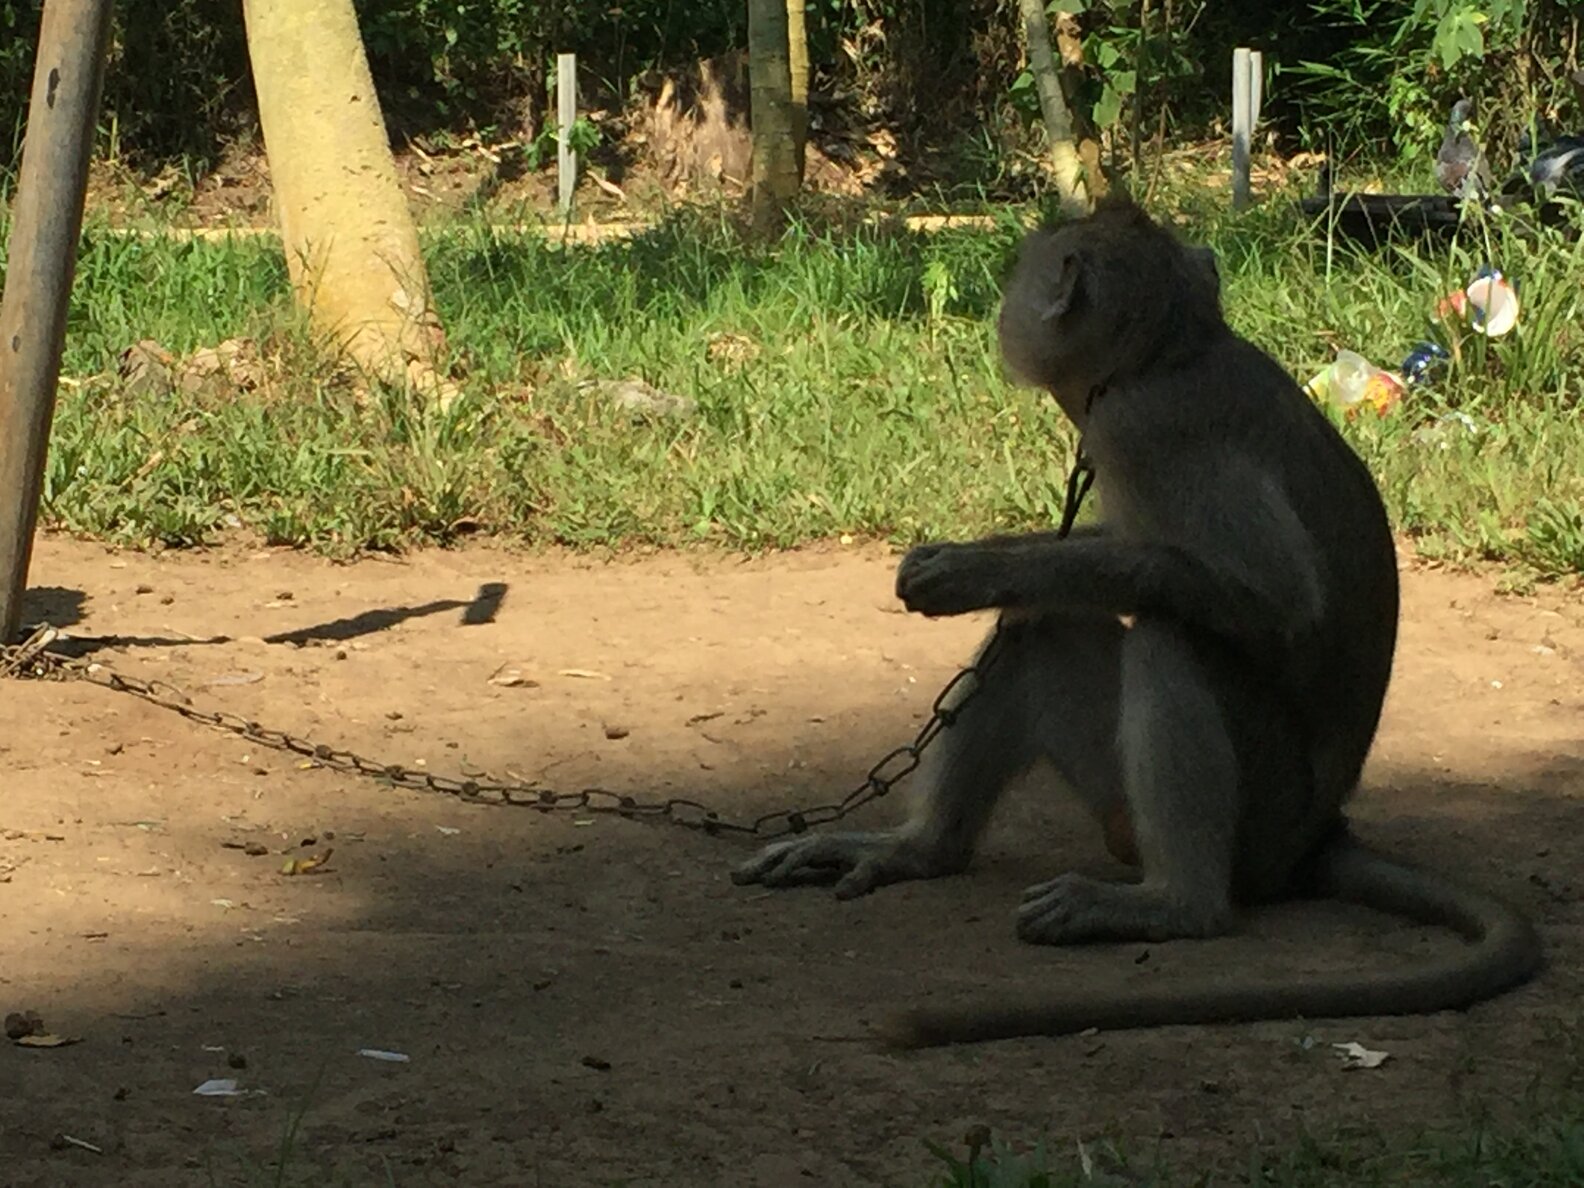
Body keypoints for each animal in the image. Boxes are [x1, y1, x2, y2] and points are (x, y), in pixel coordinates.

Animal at [732, 195, 1542, 1047]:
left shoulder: (1141, 427)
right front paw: (986, 556)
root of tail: (1319, 837)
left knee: (1169, 638)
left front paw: (973, 575)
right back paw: (920, 850)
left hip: (1263, 819)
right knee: (1044, 631)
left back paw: (1176, 906)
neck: (1163, 357)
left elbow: (1275, 597)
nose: (1008, 303)